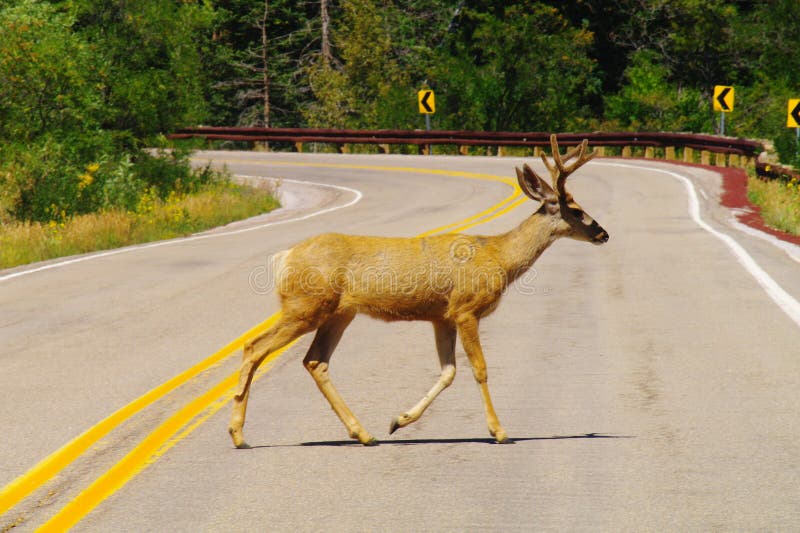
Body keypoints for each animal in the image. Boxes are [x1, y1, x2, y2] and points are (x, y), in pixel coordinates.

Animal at [229, 134, 608, 447]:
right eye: (576, 210)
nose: (604, 233)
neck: (499, 257)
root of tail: (284, 257)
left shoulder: (442, 316)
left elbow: (448, 372)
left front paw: (398, 420)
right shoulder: (466, 309)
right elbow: (480, 368)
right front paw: (499, 431)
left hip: (339, 312)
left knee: (315, 361)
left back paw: (364, 433)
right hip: (305, 305)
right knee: (254, 347)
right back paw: (238, 435)